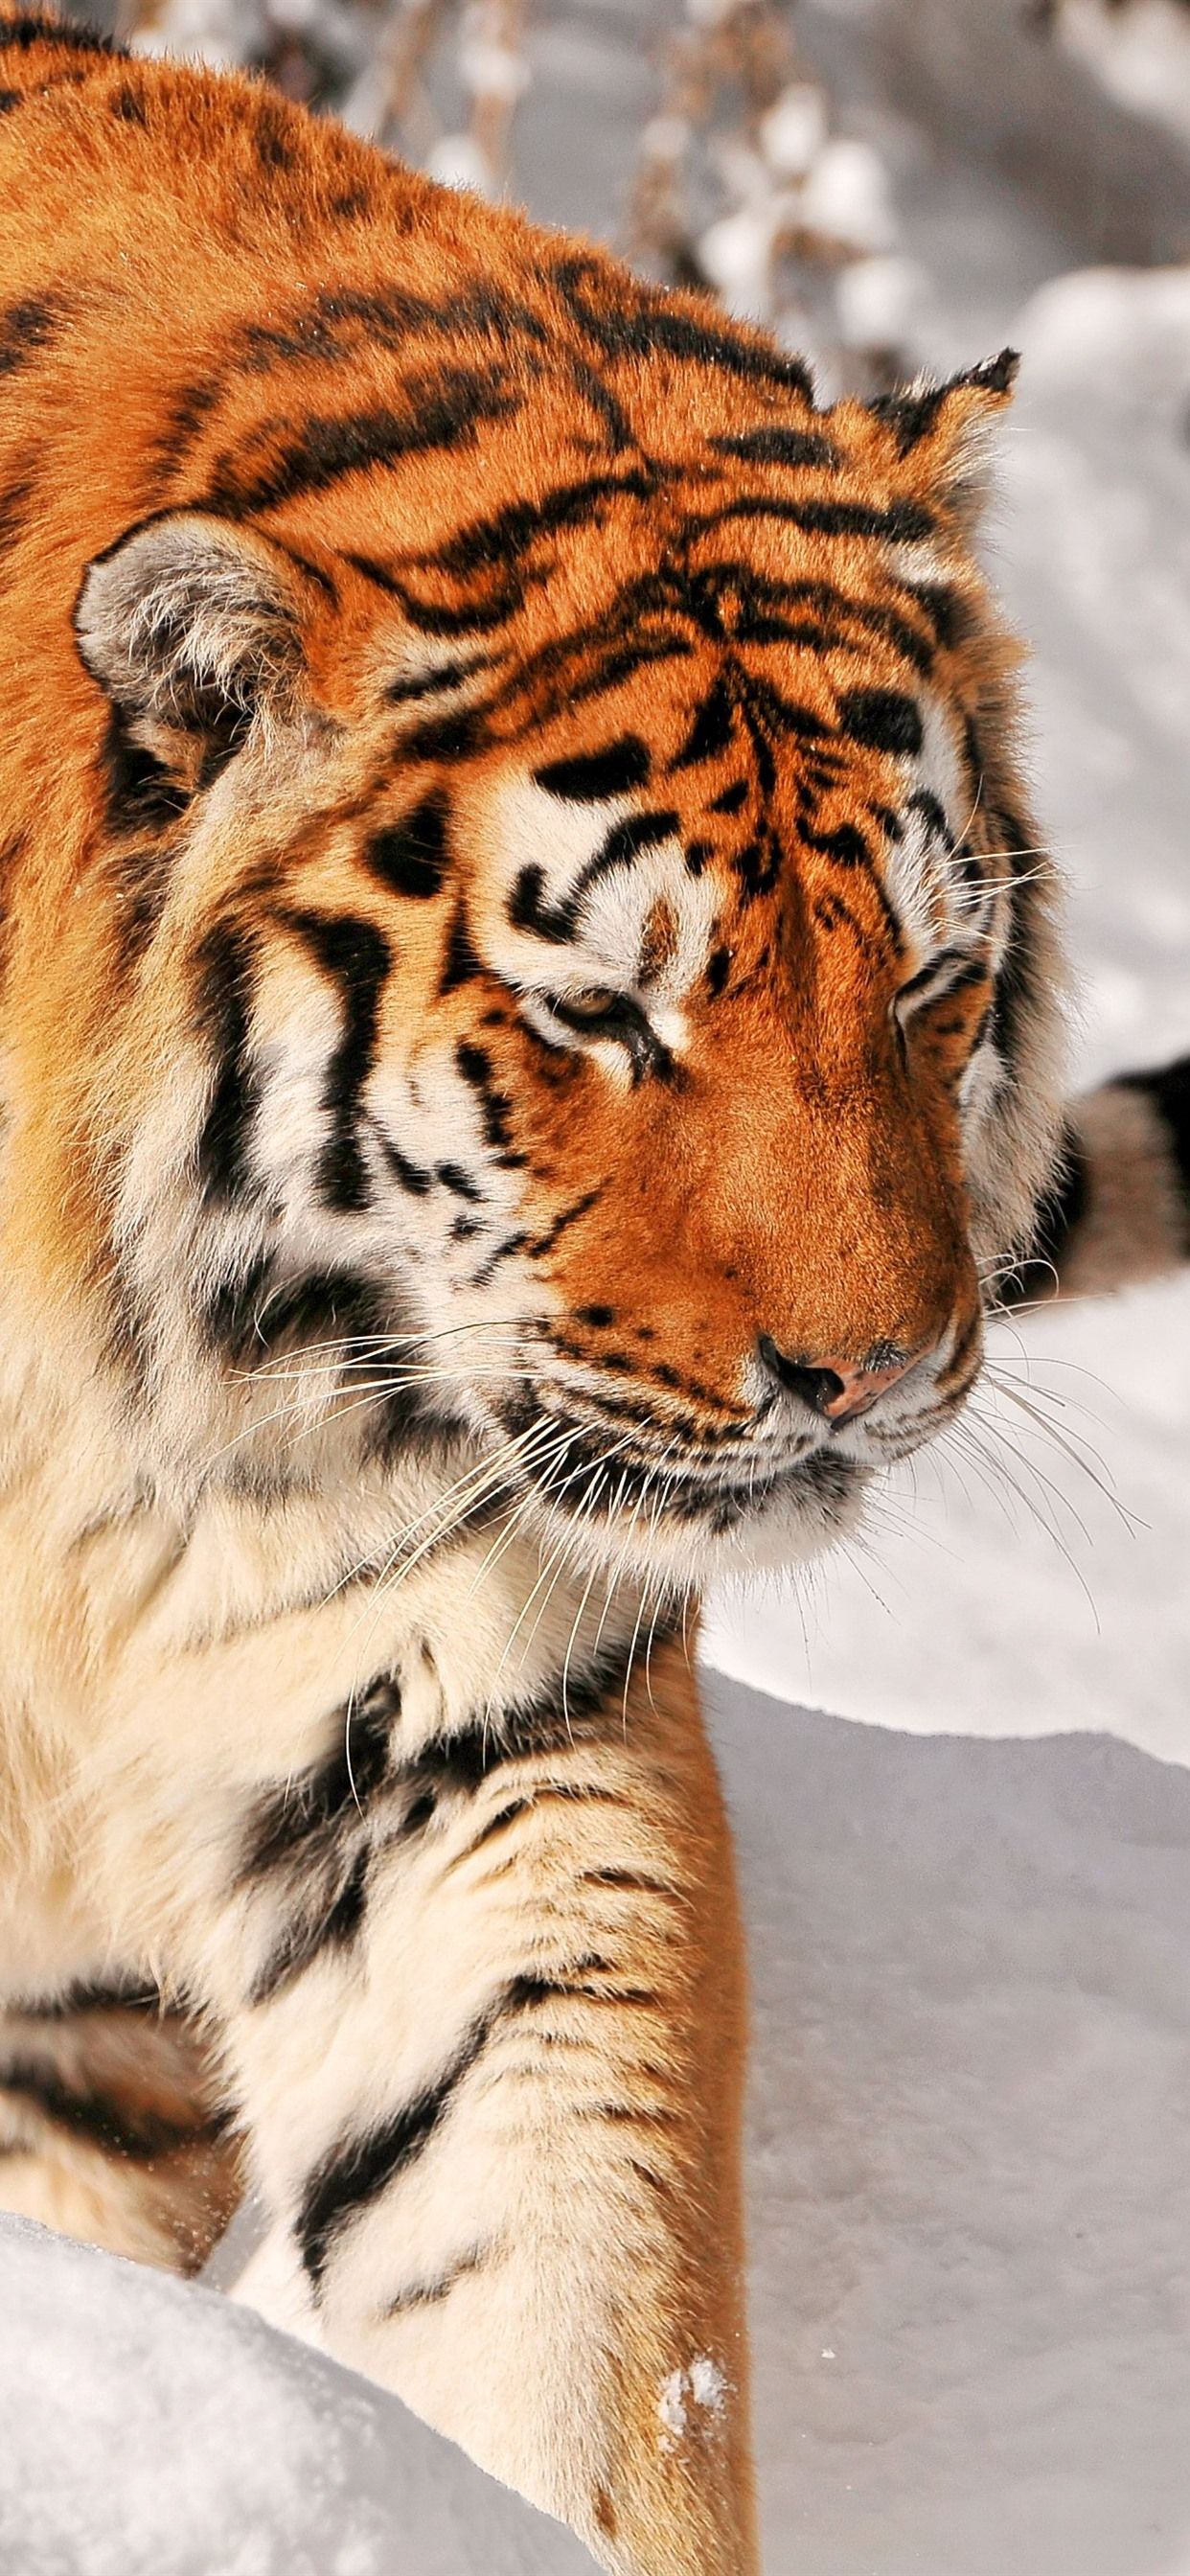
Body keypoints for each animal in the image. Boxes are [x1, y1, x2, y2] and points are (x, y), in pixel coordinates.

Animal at [0, 12, 1185, 2571]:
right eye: (606, 1015)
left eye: (930, 984)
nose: (880, 1379)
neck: (113, 1413)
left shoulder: (461, 1742)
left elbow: (566, 2300)